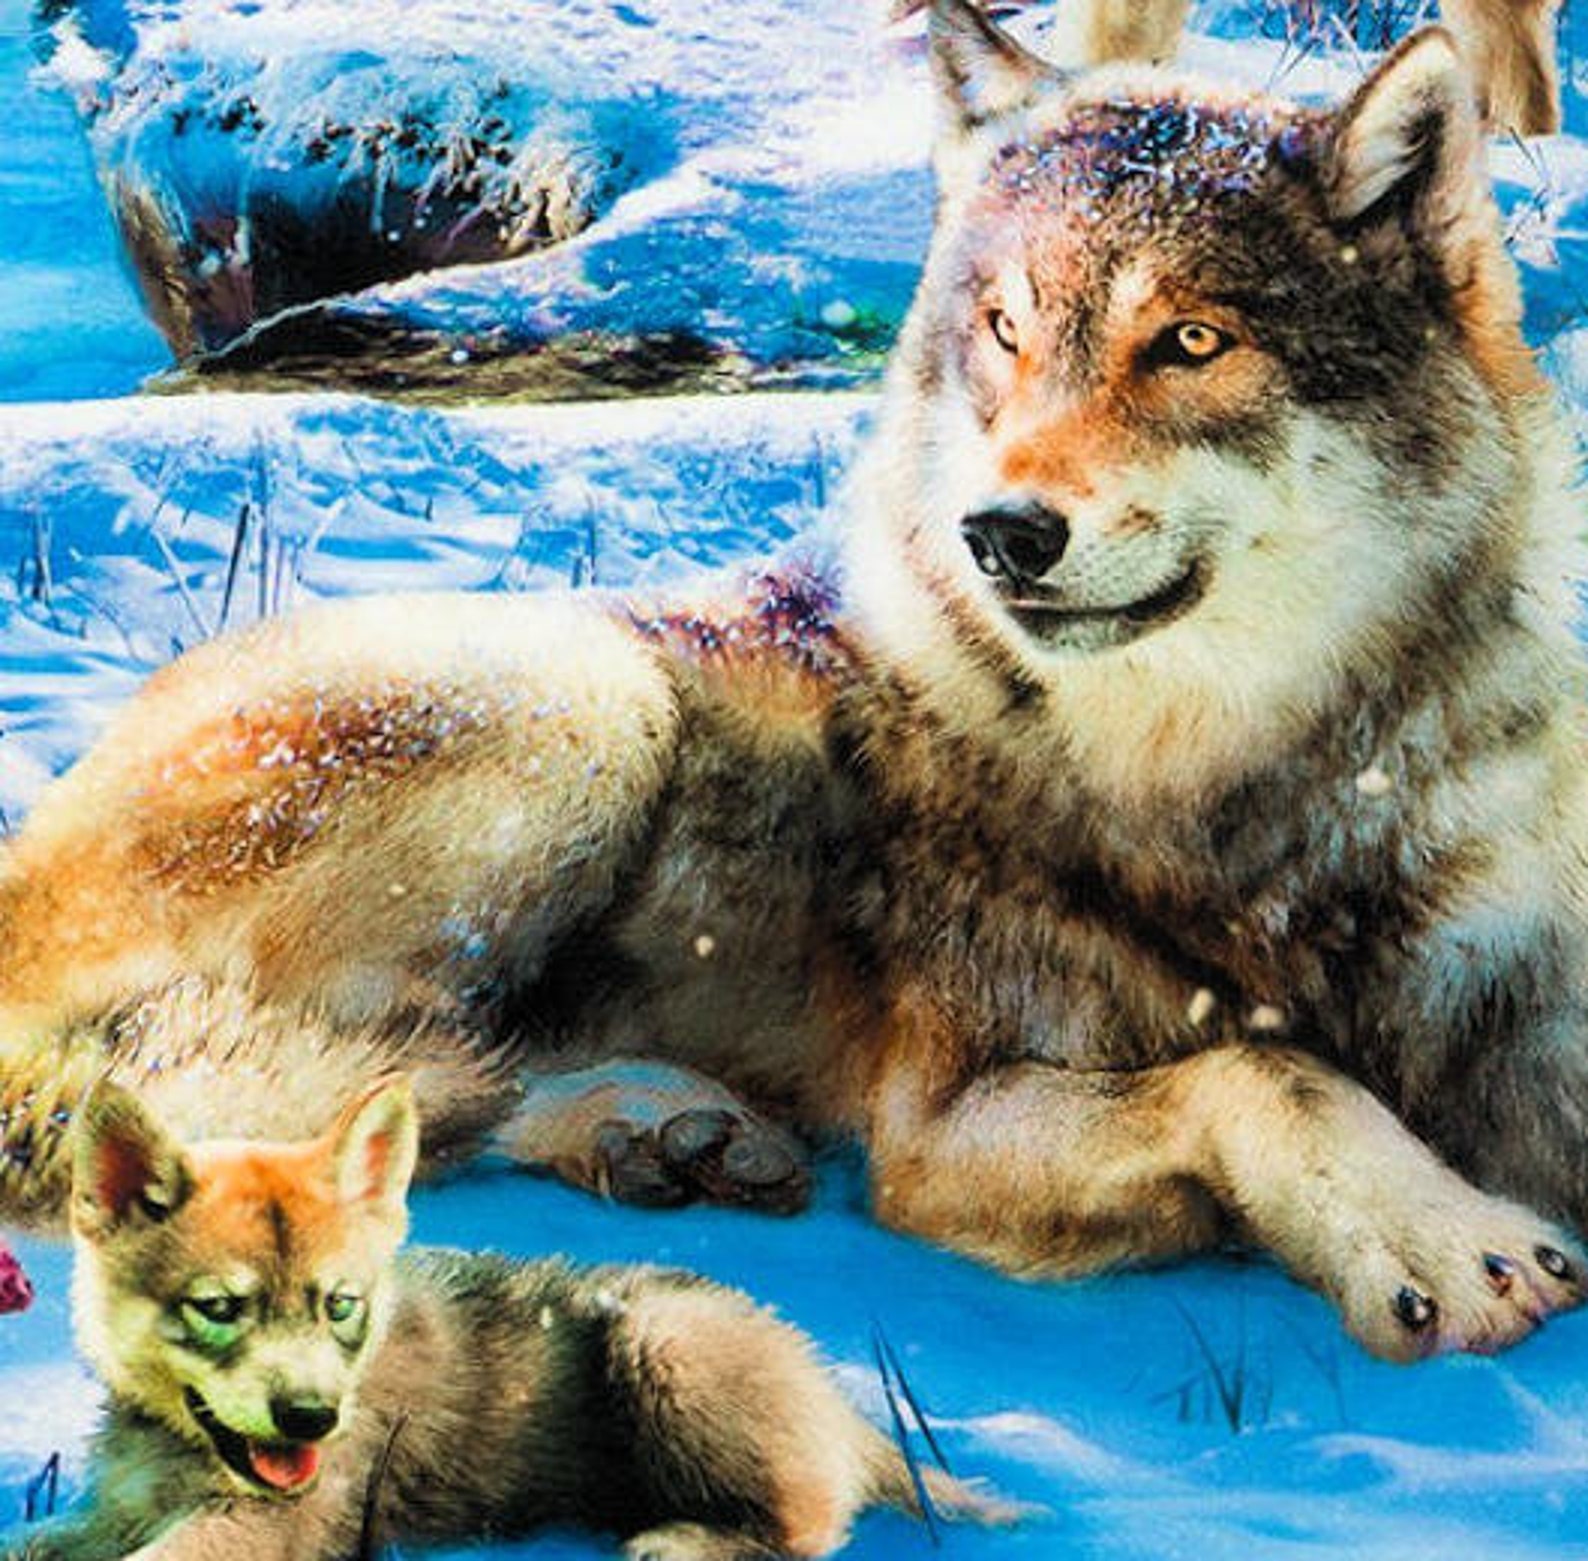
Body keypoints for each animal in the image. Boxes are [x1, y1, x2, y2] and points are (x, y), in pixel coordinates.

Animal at [2, 0, 1586, 1364]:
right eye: (1005, 331)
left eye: (1191, 339)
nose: (1002, 534)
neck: (1262, 786)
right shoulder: (945, 1129)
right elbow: (1273, 1073)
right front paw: (1449, 1245)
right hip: (582, 705)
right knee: (277, 1098)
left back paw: (659, 1133)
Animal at [3, 1076, 1003, 1561]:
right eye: (217, 1309)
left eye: (340, 1306)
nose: (315, 1419)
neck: (181, 1448)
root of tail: (842, 1406)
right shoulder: (114, 1515)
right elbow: (45, 1541)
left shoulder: (263, 1529)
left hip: (668, 1344)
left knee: (812, 1524)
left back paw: (688, 1539)